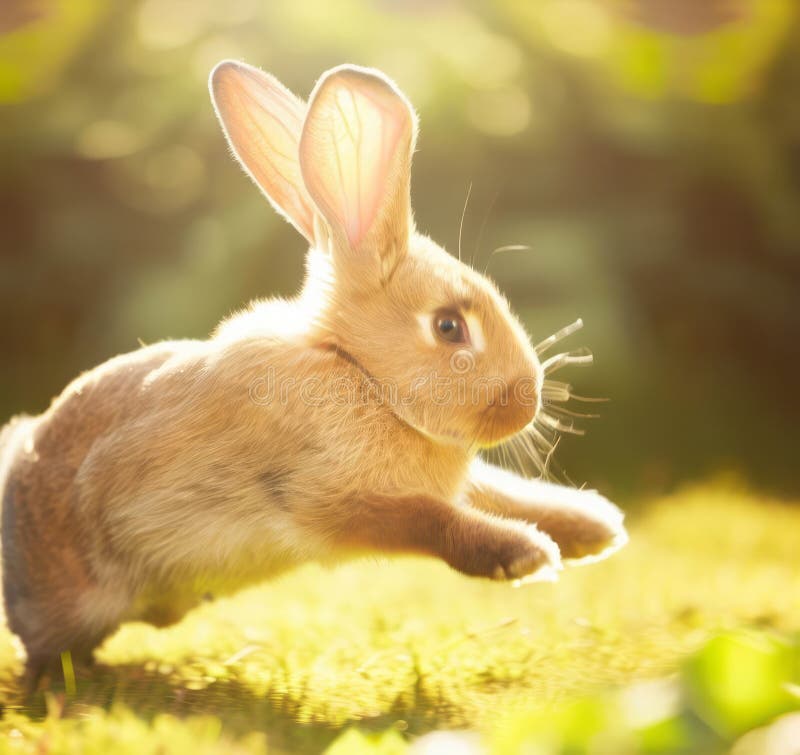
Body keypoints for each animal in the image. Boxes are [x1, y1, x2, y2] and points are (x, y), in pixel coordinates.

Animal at [0, 61, 627, 684]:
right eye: (449, 326)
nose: (526, 403)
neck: (360, 373)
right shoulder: (325, 498)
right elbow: (424, 517)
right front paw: (524, 554)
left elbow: (500, 490)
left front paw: (595, 527)